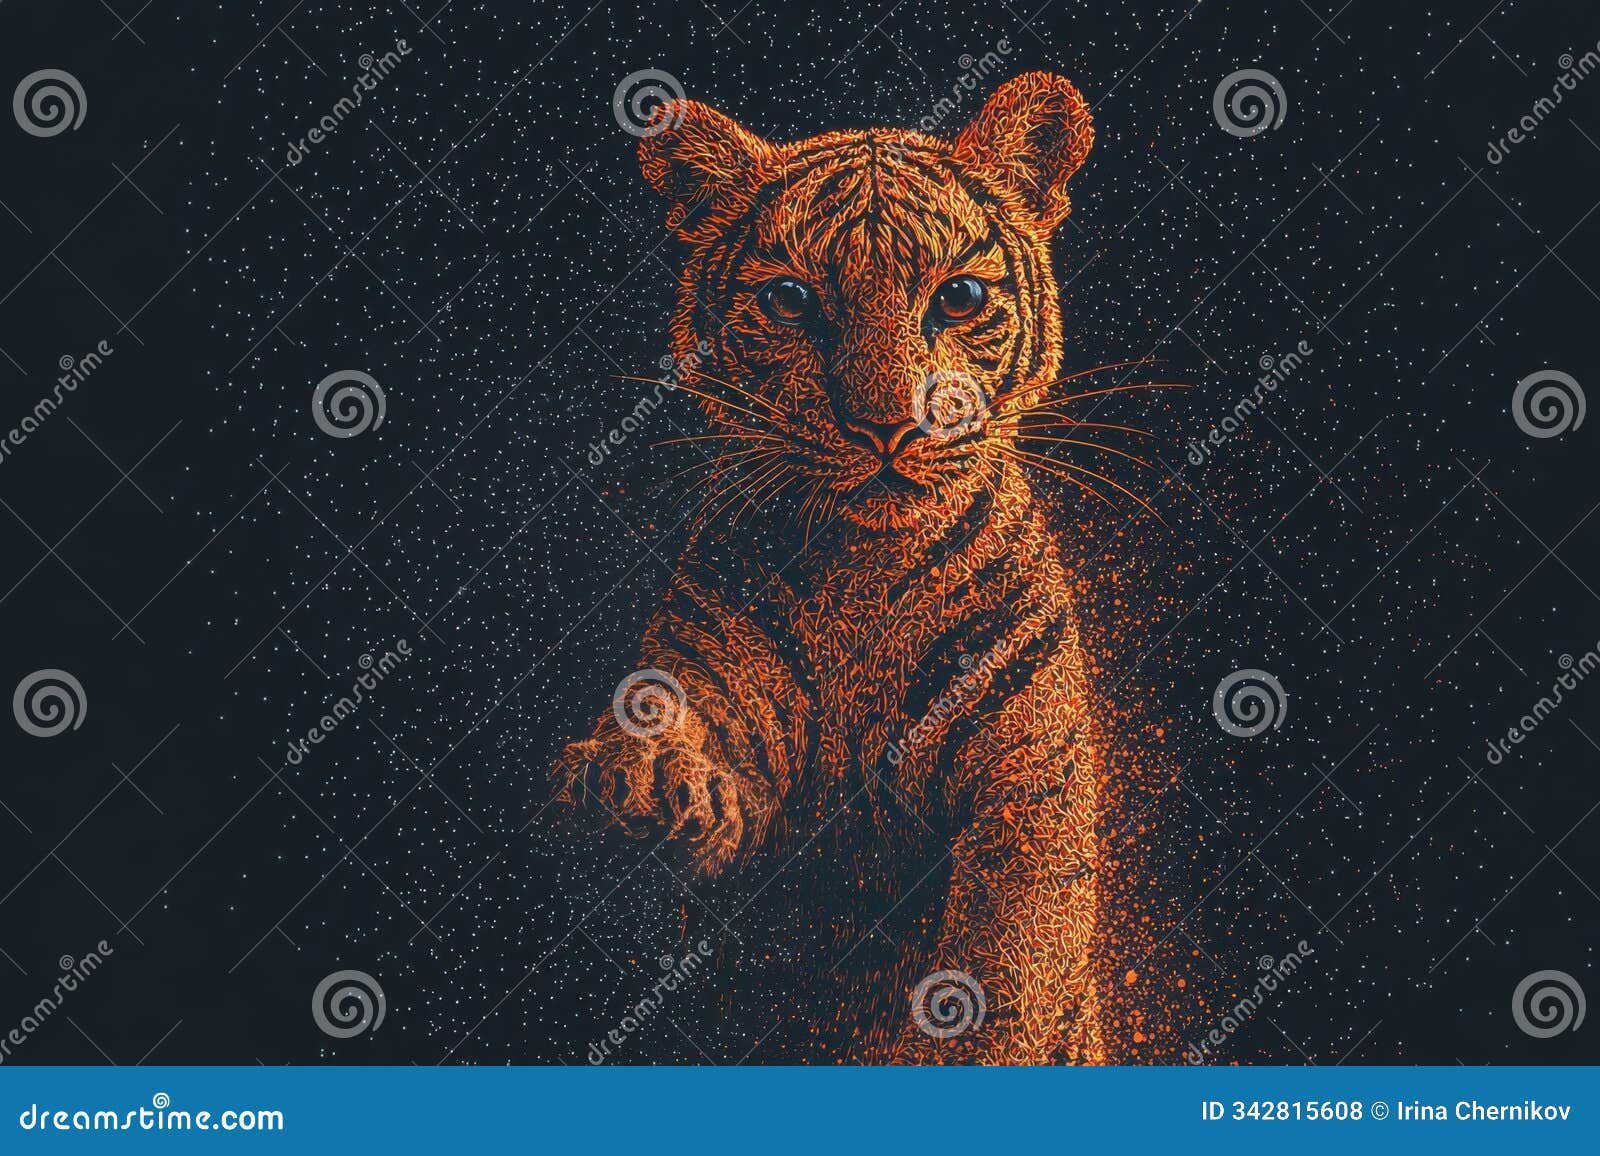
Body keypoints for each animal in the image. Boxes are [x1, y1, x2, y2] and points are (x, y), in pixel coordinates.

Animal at [553, 72, 1106, 1064]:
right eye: (789, 299)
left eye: (959, 297)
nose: (887, 426)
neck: (866, 572)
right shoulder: (718, 678)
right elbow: (668, 713)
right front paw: (642, 780)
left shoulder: (1027, 788)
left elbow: (999, 974)